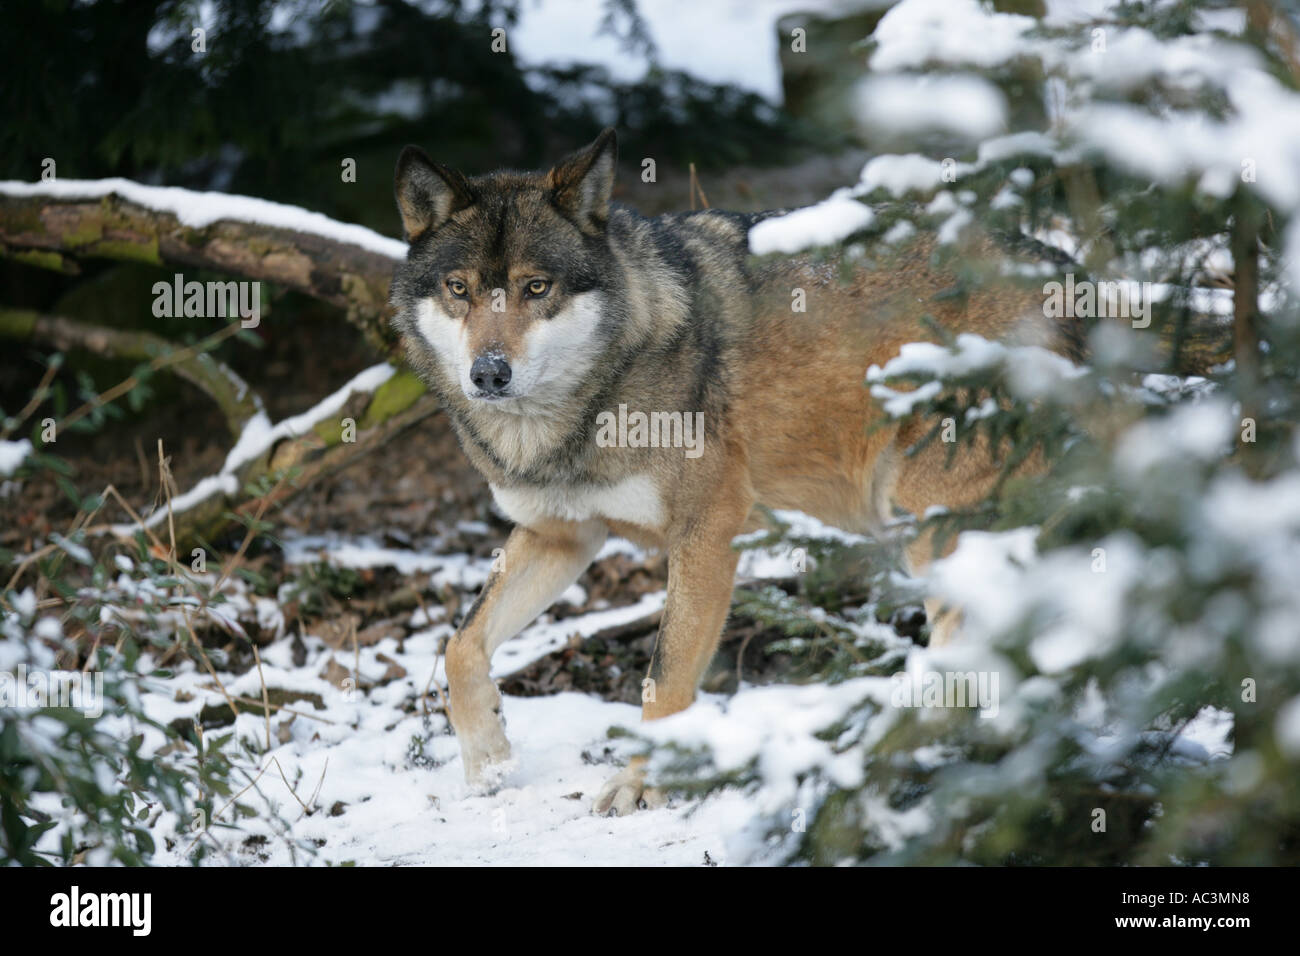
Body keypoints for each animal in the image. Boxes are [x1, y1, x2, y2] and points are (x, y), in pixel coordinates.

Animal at [389, 128, 1070, 815]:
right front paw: (488, 763)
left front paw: (641, 783)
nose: (489, 374)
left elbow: (663, 676)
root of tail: (1072, 276)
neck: (577, 412)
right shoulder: (564, 536)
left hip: (920, 511)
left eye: (535, 287)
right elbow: (460, 645)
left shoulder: (709, 530)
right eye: (458, 288)